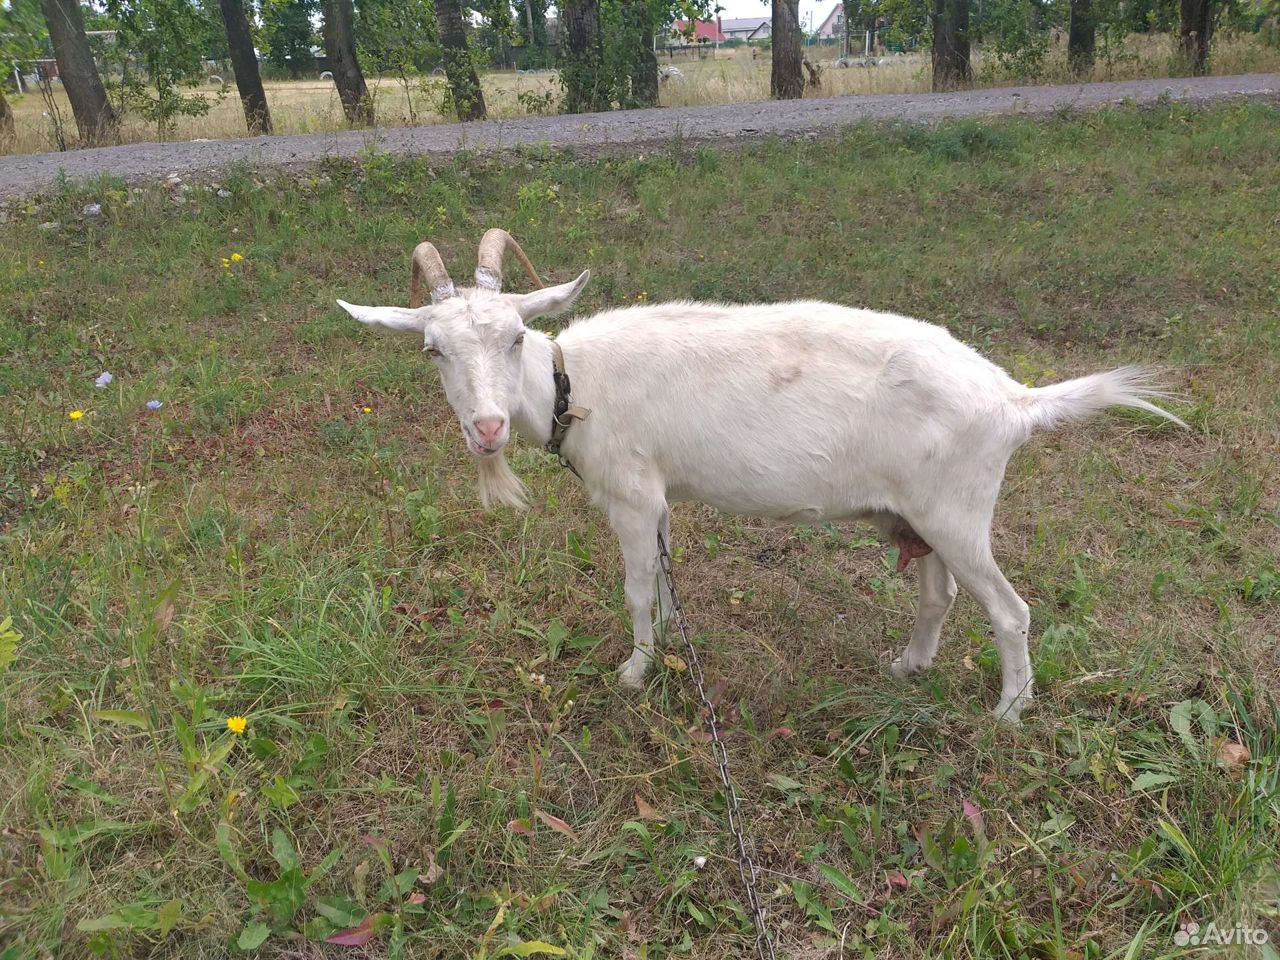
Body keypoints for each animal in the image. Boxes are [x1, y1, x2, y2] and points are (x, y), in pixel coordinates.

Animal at [337, 232, 1185, 722]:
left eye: (515, 336)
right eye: (433, 350)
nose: (486, 430)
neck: (571, 385)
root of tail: (1014, 399)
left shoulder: (629, 493)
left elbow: (636, 589)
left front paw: (634, 672)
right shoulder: (659, 498)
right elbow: (666, 582)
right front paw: (668, 650)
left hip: (960, 511)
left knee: (1011, 612)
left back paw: (1010, 711)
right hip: (923, 516)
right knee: (939, 595)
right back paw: (909, 666)